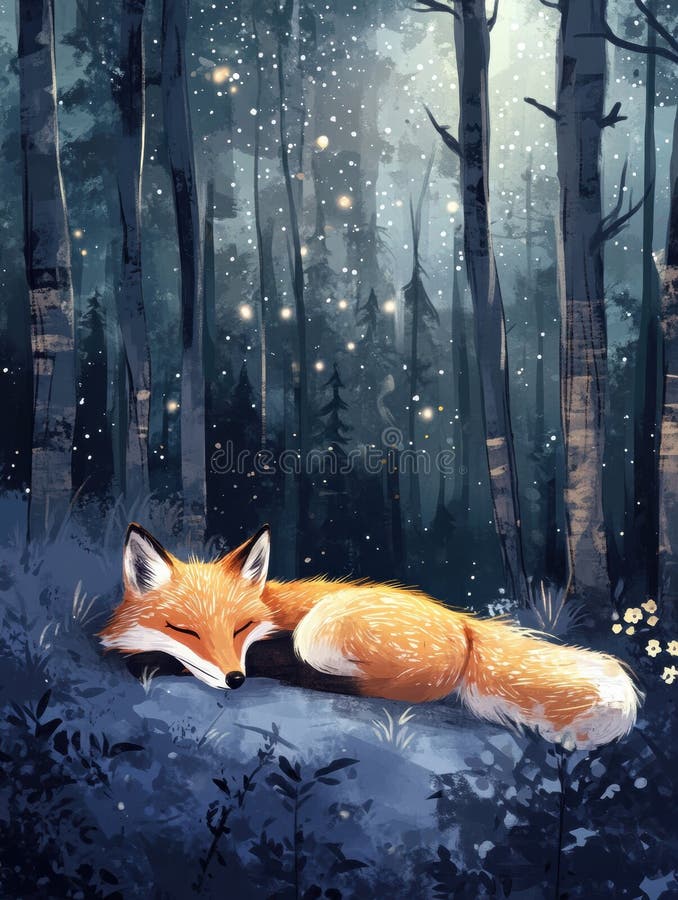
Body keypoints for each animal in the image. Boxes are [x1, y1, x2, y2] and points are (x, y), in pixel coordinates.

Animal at [99, 523, 642, 749]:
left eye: (240, 628)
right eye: (185, 629)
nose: (235, 679)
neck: (273, 610)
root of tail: (465, 626)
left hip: (322, 629)